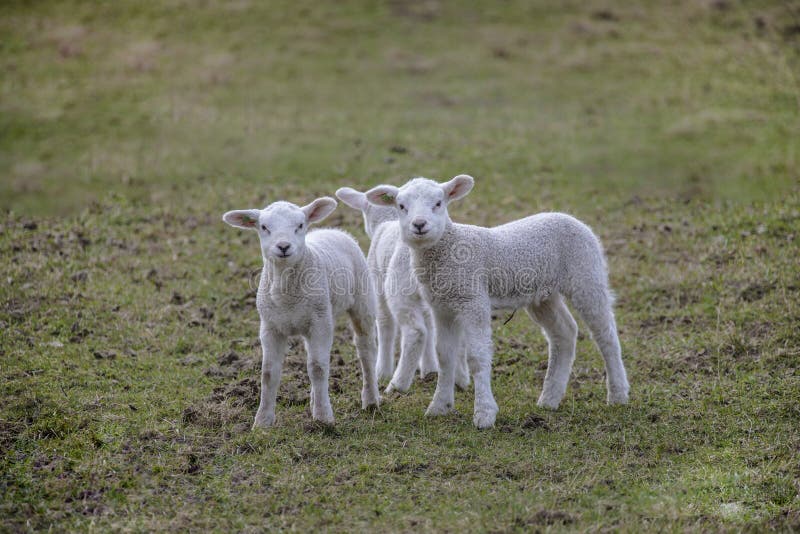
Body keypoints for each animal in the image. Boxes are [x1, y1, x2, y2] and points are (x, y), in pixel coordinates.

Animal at [222, 197, 380, 428]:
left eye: (299, 225)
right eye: (264, 227)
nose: (283, 246)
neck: (286, 295)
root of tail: (333, 230)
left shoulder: (321, 324)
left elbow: (318, 368)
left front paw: (323, 418)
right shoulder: (270, 327)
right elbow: (268, 373)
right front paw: (262, 421)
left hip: (362, 301)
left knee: (365, 348)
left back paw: (370, 400)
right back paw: (315, 401)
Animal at [335, 187, 471, 394]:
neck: (386, 221)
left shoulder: (378, 285)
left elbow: (385, 325)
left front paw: (382, 371)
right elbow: (430, 327)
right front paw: (430, 369)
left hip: (399, 288)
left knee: (415, 332)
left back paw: (396, 384)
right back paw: (461, 379)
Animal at [365, 175, 630, 428]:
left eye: (439, 203)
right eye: (401, 206)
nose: (419, 224)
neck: (448, 248)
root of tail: (571, 218)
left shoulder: (473, 300)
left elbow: (477, 356)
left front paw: (484, 414)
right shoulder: (442, 308)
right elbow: (445, 356)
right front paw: (439, 406)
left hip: (586, 275)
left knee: (605, 334)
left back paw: (618, 394)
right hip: (543, 295)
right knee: (564, 333)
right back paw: (549, 399)